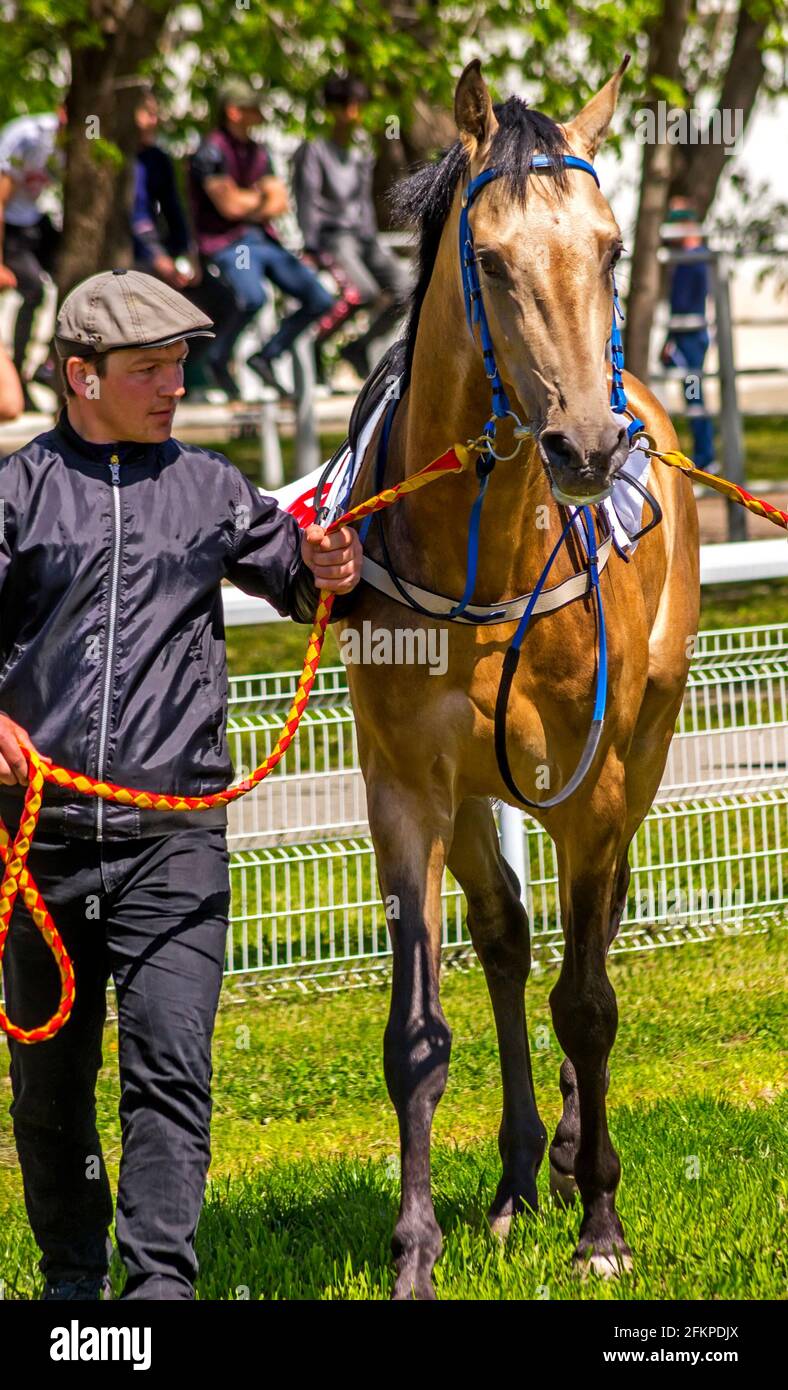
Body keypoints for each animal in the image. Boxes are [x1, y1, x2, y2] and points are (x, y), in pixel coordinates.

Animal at [334, 57, 699, 1299]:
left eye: (610, 248)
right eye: (490, 260)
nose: (586, 446)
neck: (482, 552)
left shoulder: (592, 785)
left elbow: (586, 1002)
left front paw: (602, 1224)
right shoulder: (403, 787)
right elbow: (416, 1034)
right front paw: (414, 1249)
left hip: (637, 753)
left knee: (591, 936)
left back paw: (581, 1160)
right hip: (477, 787)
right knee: (502, 937)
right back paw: (512, 1179)